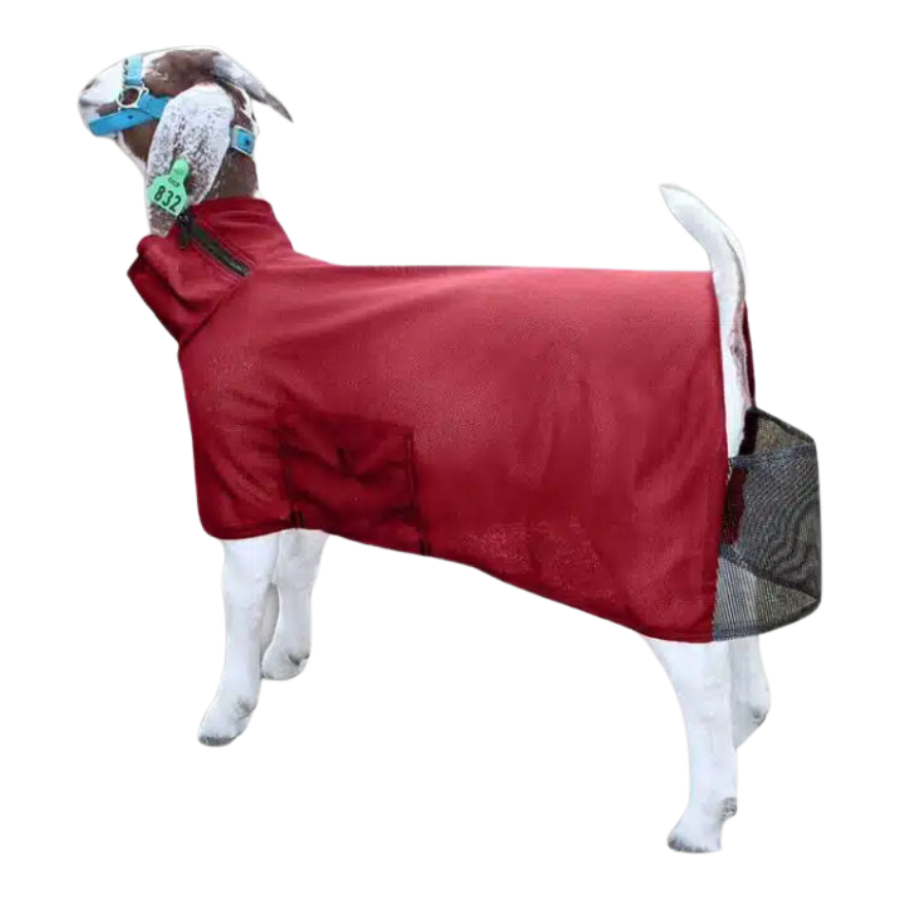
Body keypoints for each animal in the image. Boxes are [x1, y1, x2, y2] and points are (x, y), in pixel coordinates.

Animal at [76, 45, 821, 855]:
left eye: (144, 80)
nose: (83, 91)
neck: (241, 274)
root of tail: (720, 304)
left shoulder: (239, 466)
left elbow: (240, 594)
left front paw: (226, 712)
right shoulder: (310, 469)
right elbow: (299, 569)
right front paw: (288, 659)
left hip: (644, 542)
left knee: (701, 674)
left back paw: (703, 817)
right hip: (720, 506)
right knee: (737, 613)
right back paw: (749, 724)